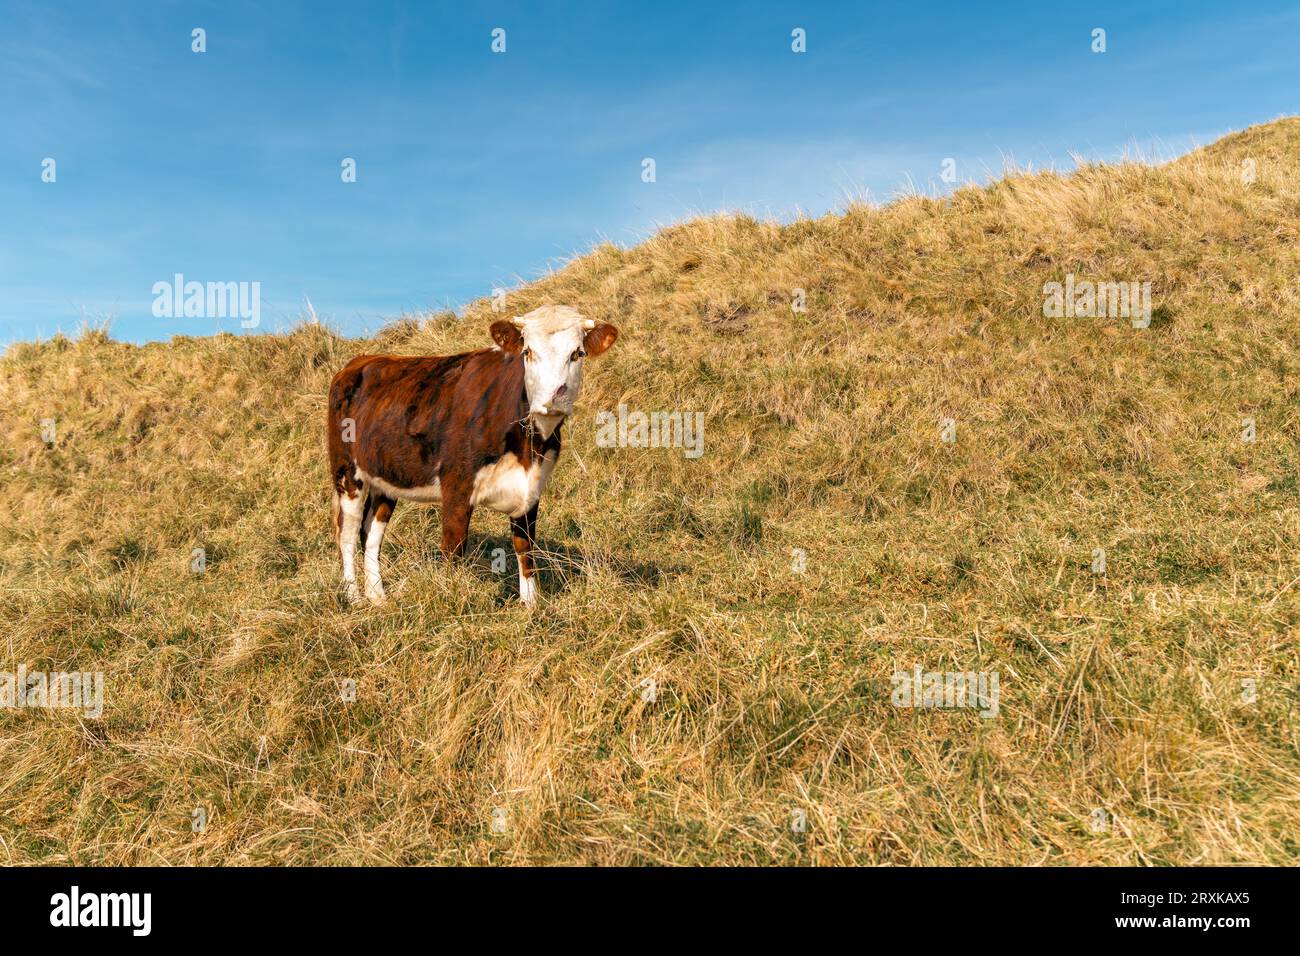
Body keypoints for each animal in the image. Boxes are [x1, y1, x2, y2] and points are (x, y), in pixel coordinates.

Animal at [326, 305, 618, 606]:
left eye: (577, 353)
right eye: (527, 351)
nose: (554, 396)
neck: (529, 445)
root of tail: (360, 361)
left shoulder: (532, 488)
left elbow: (525, 549)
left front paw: (531, 606)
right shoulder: (456, 485)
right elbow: (453, 548)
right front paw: (450, 601)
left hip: (386, 477)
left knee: (371, 533)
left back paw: (378, 597)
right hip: (346, 472)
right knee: (347, 533)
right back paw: (354, 598)